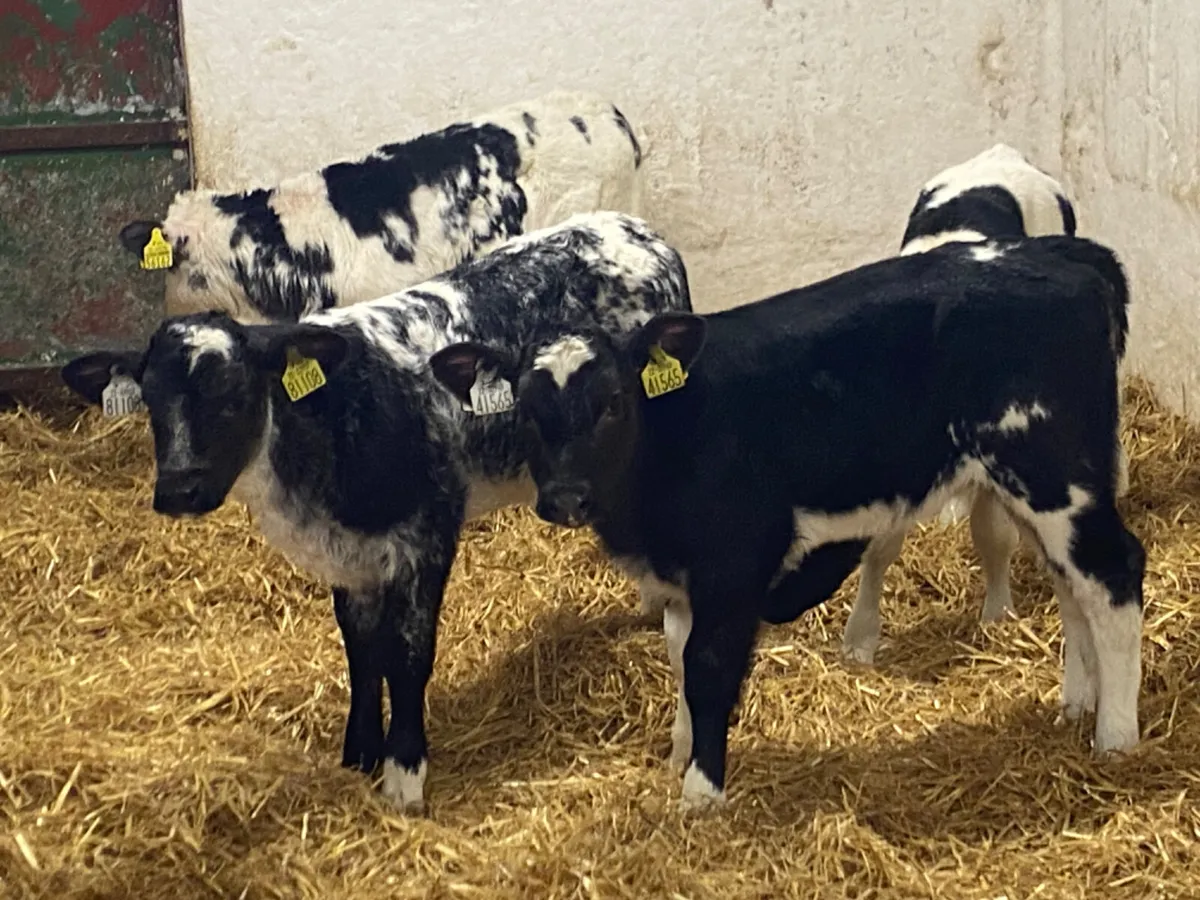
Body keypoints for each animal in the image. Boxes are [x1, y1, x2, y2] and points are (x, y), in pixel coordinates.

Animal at [60, 211, 691, 813]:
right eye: (151, 401)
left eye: (233, 395)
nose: (179, 490)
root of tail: (637, 231)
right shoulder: (351, 557)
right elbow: (361, 653)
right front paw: (358, 755)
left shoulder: (426, 535)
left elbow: (408, 655)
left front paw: (404, 775)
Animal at [429, 236, 1143, 810]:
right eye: (525, 410)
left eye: (611, 402)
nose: (565, 498)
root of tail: (1060, 253)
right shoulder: (684, 578)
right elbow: (679, 659)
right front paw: (679, 757)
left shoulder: (733, 562)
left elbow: (708, 667)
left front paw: (702, 794)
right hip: (1036, 490)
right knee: (1072, 586)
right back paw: (1079, 703)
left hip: (1053, 470)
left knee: (1113, 576)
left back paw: (1116, 737)